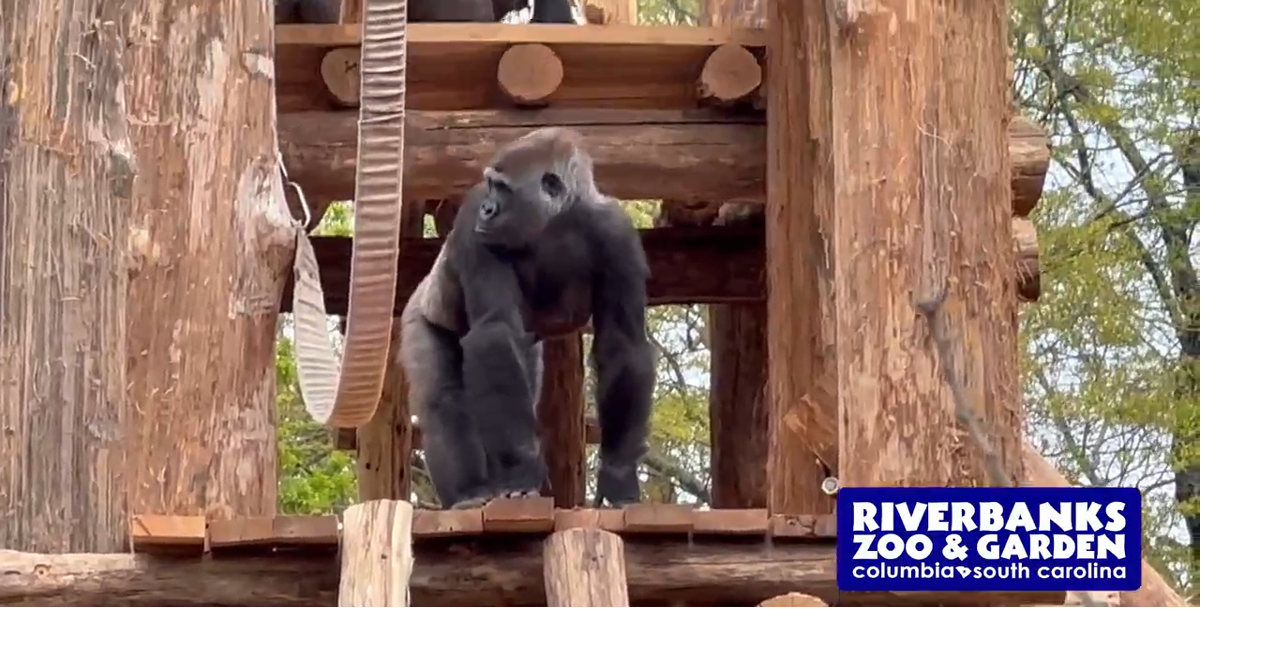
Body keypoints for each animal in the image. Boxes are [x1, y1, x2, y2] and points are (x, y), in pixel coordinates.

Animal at [399, 128, 656, 510]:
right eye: (489, 187)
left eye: (503, 189)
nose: (488, 209)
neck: (557, 221)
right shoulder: (472, 217)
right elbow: (494, 329)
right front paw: (521, 470)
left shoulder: (617, 233)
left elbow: (622, 345)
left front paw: (619, 475)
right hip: (420, 312)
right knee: (442, 399)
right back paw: (469, 493)